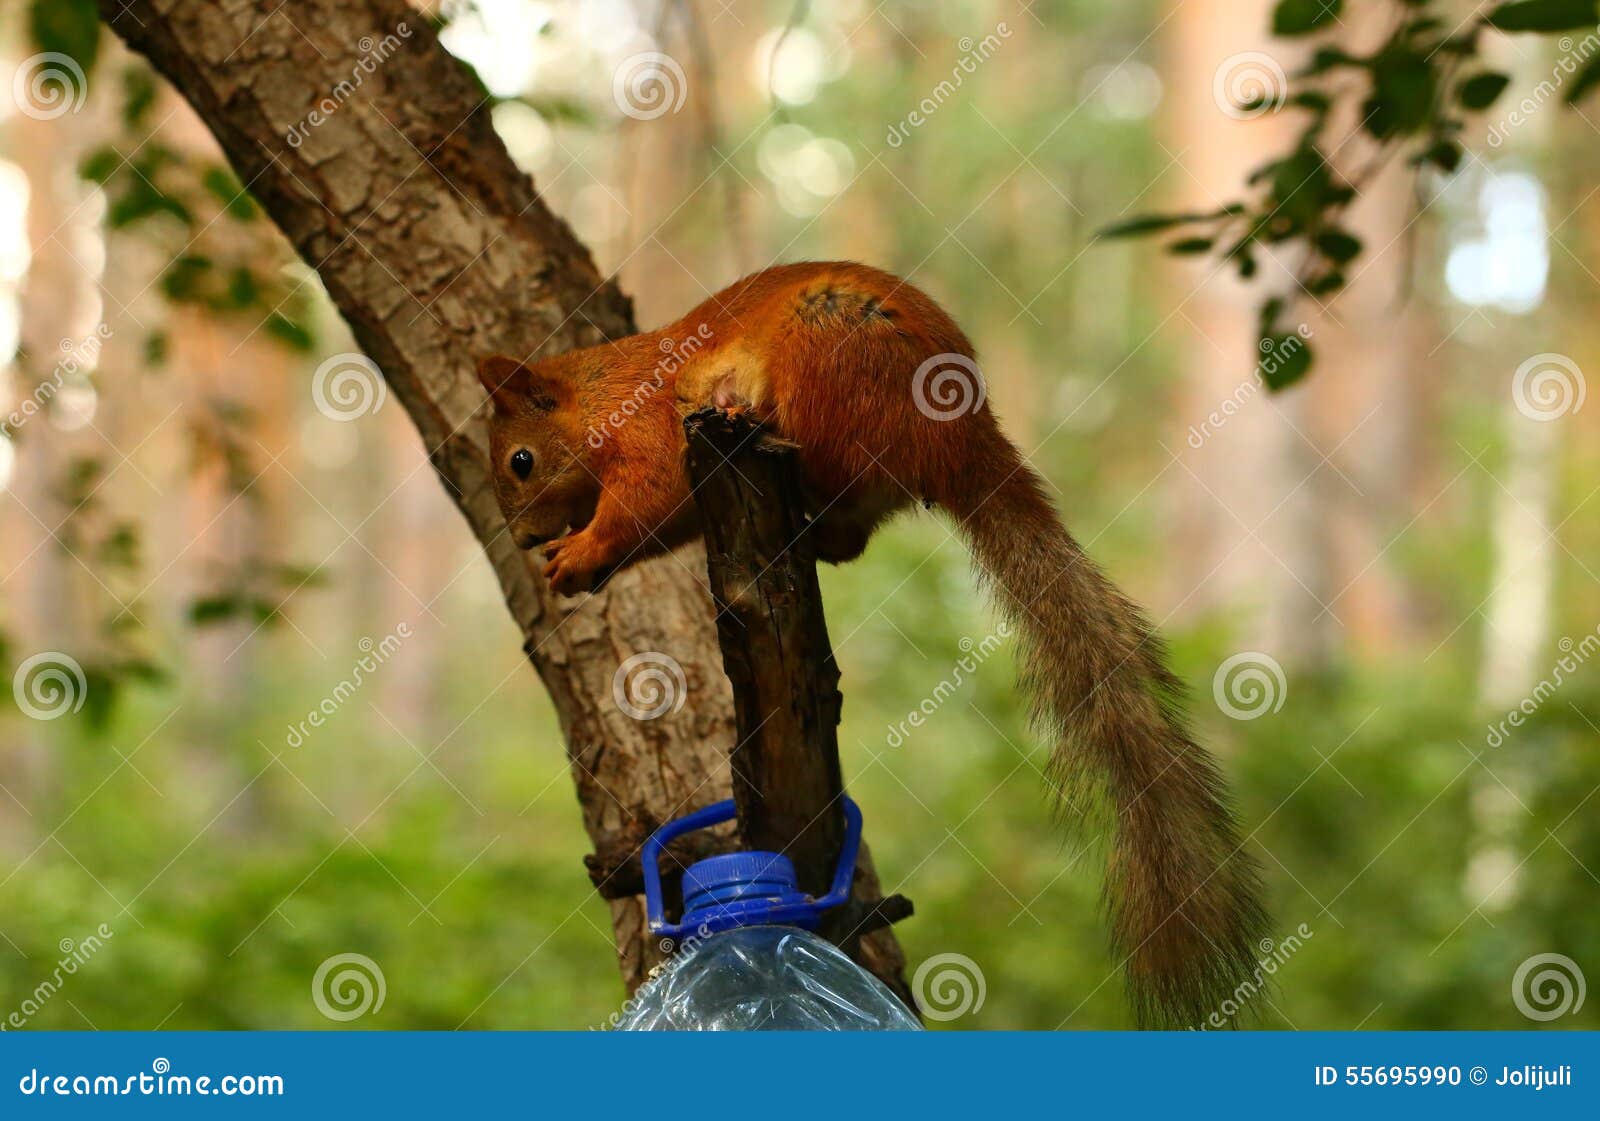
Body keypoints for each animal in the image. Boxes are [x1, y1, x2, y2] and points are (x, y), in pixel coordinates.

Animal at [477, 261, 1267, 1027]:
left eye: (520, 460)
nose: (524, 539)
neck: (602, 390)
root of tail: (966, 442)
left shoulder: (648, 435)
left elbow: (643, 500)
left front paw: (580, 553)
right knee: (852, 531)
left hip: (827, 360)